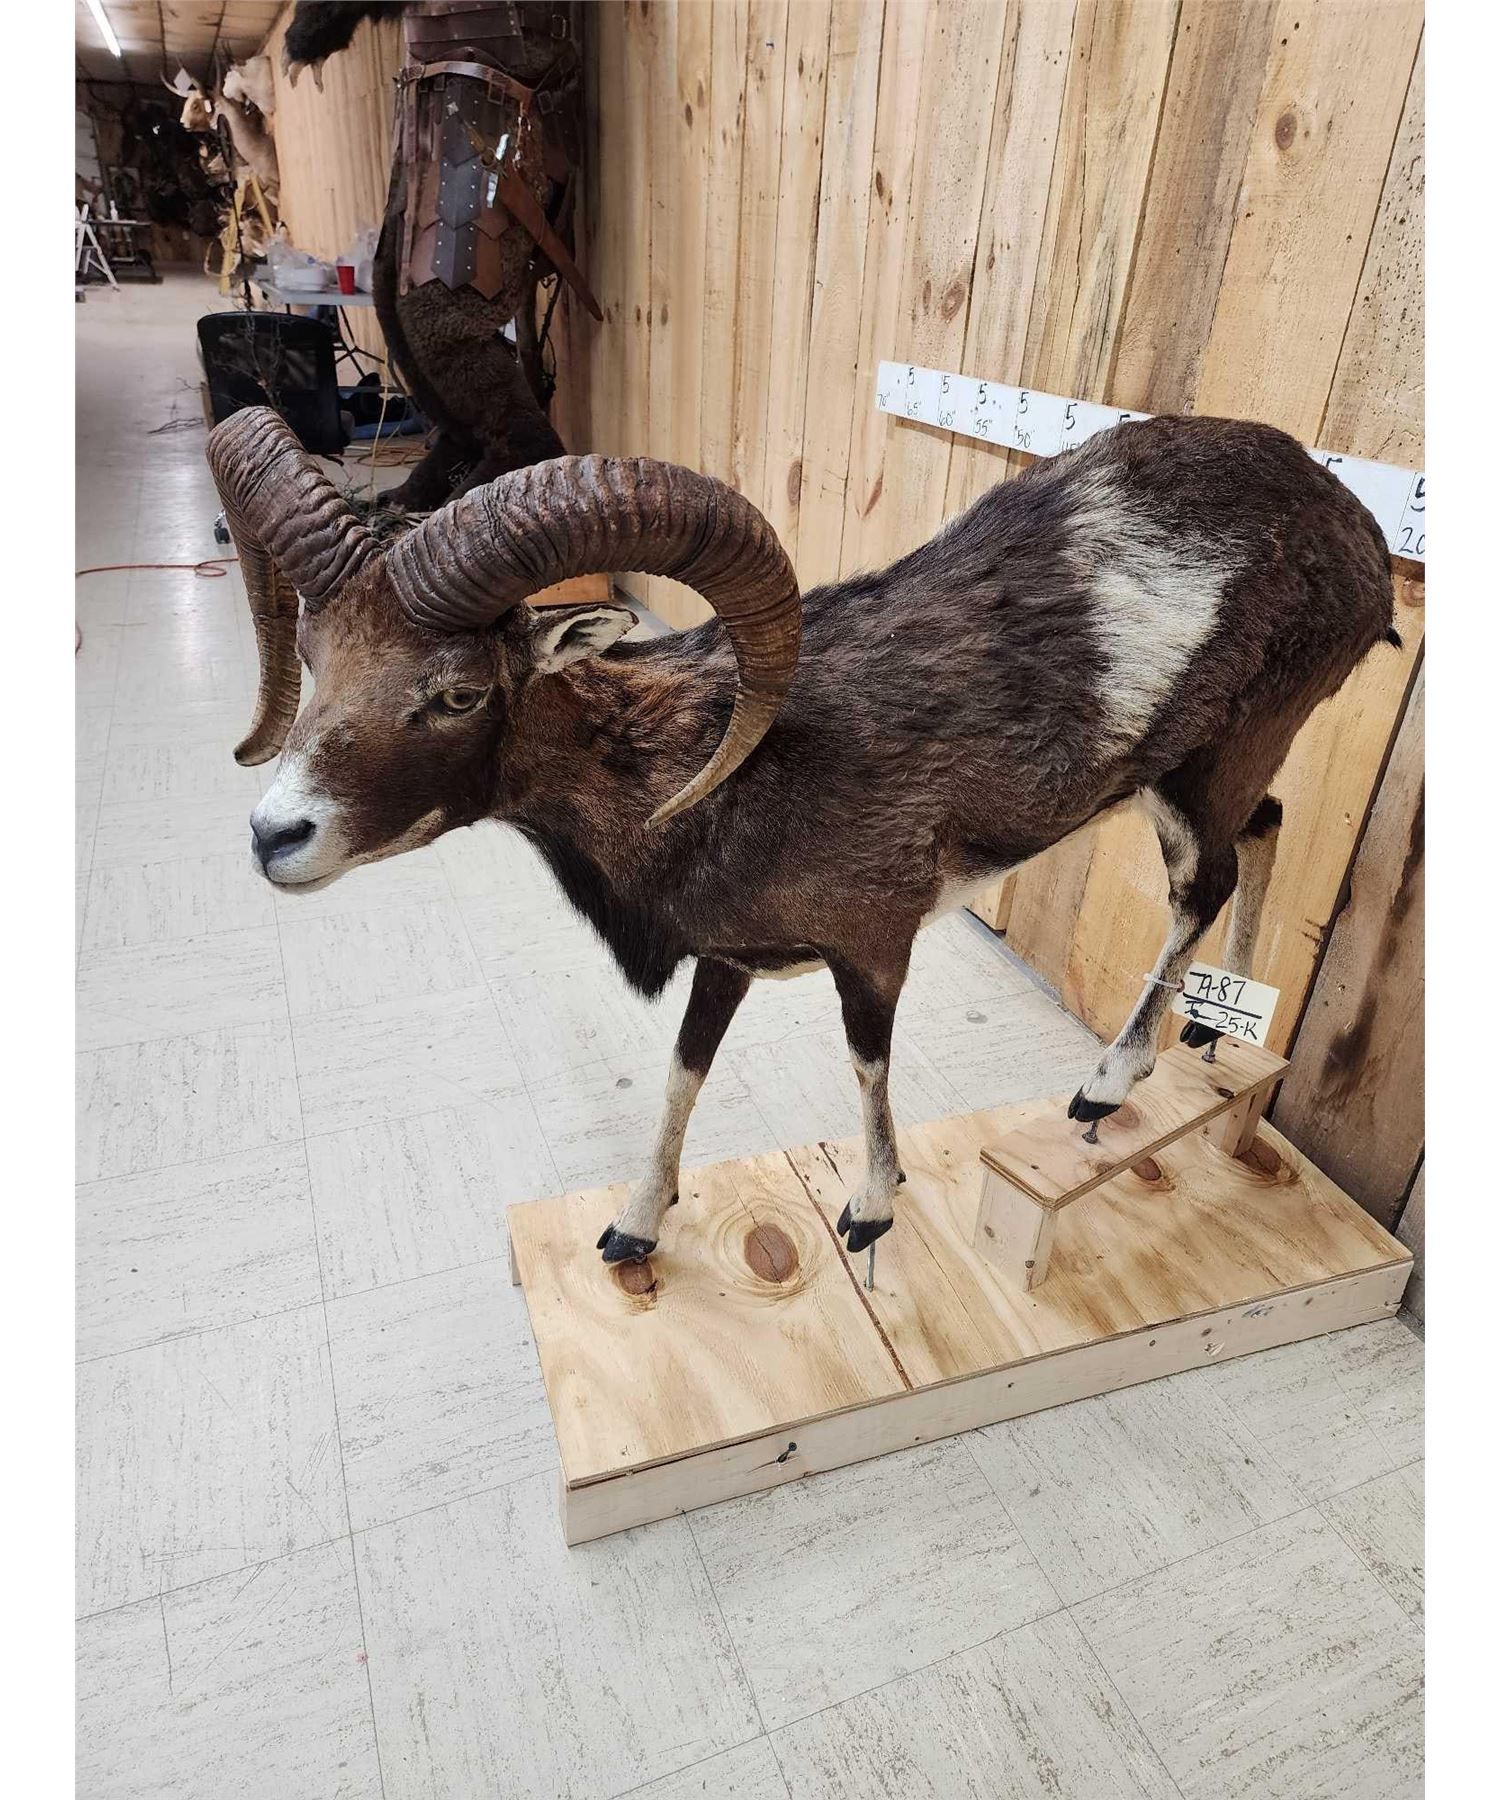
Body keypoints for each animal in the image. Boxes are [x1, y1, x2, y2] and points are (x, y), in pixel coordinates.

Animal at [207, 405, 1397, 1267]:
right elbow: (684, 1075)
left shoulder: (872, 947)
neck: (705, 774)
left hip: (1205, 775)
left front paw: (871, 1210)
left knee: (1206, 881)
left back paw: (1109, 1084)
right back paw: (1213, 1041)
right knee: (1267, 836)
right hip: (1195, 779)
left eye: (456, 695)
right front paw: (634, 1228)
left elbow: (867, 1065)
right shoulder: (727, 963)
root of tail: (1358, 535)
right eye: (313, 656)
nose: (273, 837)